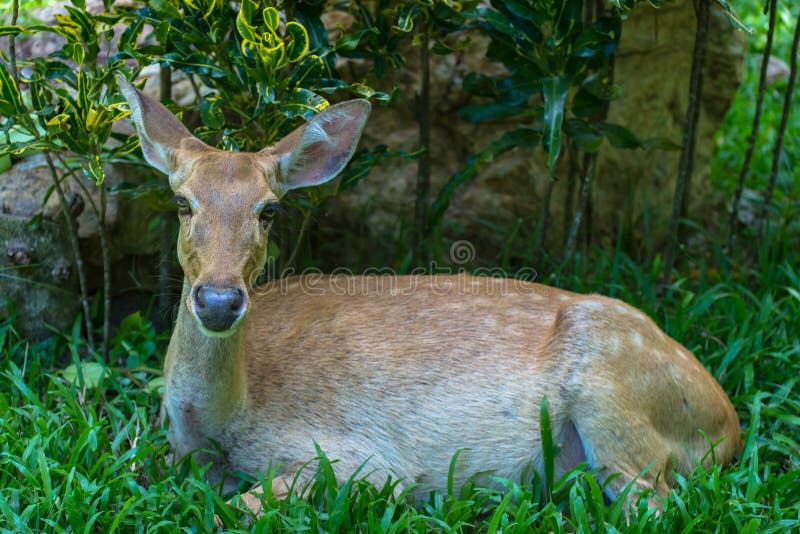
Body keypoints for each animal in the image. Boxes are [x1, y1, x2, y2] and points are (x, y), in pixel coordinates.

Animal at [117, 75, 741, 519]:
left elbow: (240, 507)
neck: (225, 422)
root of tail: (727, 424)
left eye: (269, 210)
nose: (219, 300)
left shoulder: (363, 458)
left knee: (656, 505)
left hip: (614, 396)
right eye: (182, 202)